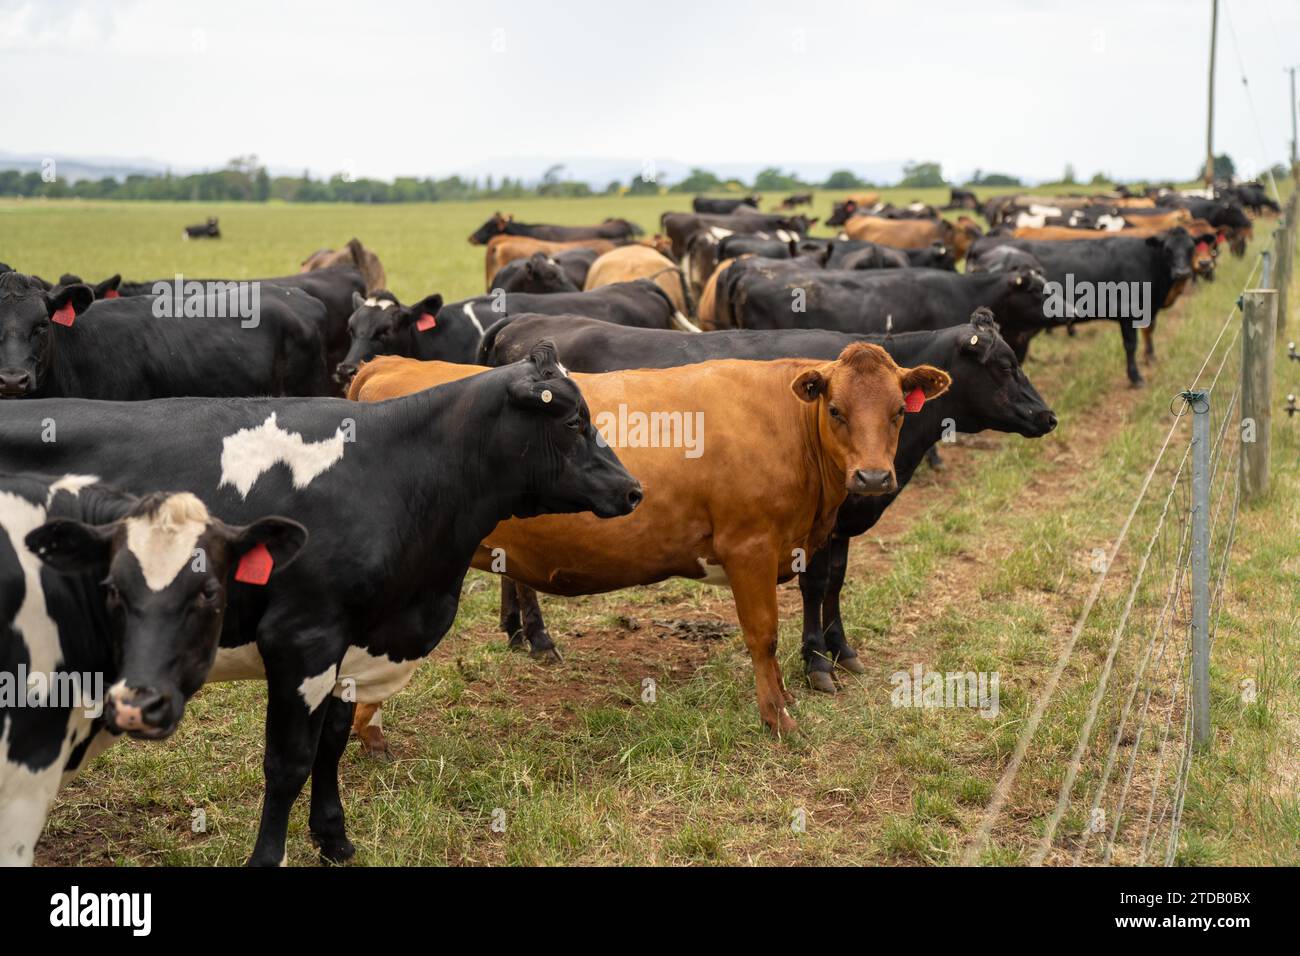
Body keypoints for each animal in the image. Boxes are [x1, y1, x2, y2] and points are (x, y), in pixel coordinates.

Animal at [348, 344, 951, 735]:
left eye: (897, 413)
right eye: (836, 410)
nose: (871, 478)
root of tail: (391, 363)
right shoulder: (749, 547)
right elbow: (763, 637)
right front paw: (778, 718)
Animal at [475, 310, 1056, 690]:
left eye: (897, 409)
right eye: (1005, 365)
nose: (1047, 415)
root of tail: (521, 321)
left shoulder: (840, 520)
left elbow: (836, 581)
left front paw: (842, 650)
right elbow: (816, 584)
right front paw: (817, 661)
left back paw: (516, 630)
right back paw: (540, 637)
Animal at [968, 228, 1196, 385]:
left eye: (1191, 249)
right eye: (1168, 250)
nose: (1183, 272)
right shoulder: (1128, 312)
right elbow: (1131, 345)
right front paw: (1135, 377)